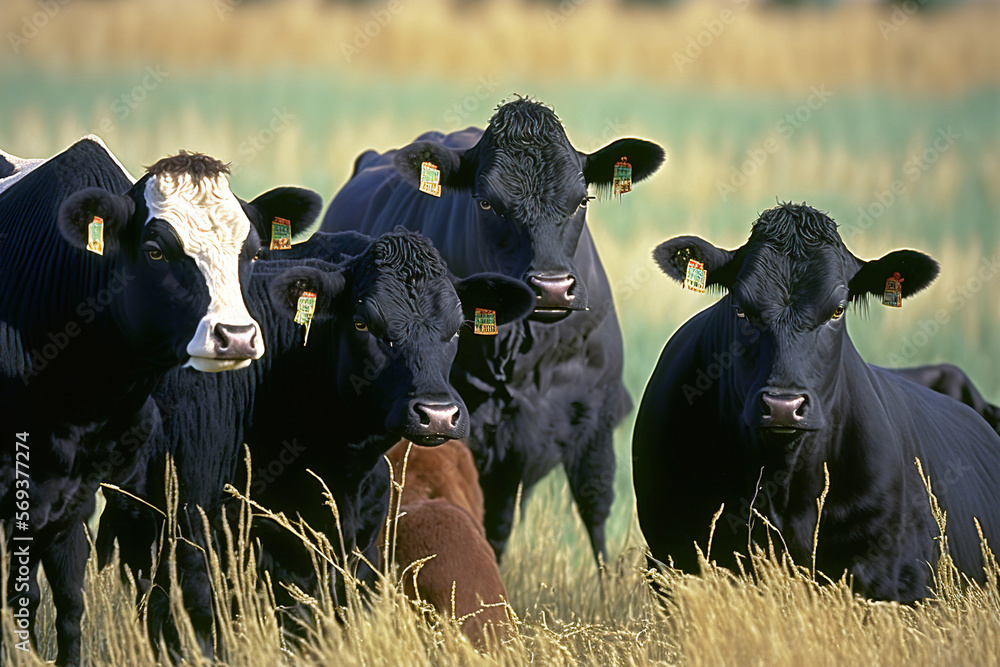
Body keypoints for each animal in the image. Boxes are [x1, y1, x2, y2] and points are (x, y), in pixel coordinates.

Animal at [320, 96, 666, 567]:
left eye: (581, 201)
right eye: (486, 203)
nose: (551, 286)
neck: (526, 356)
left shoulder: (596, 414)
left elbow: (595, 513)